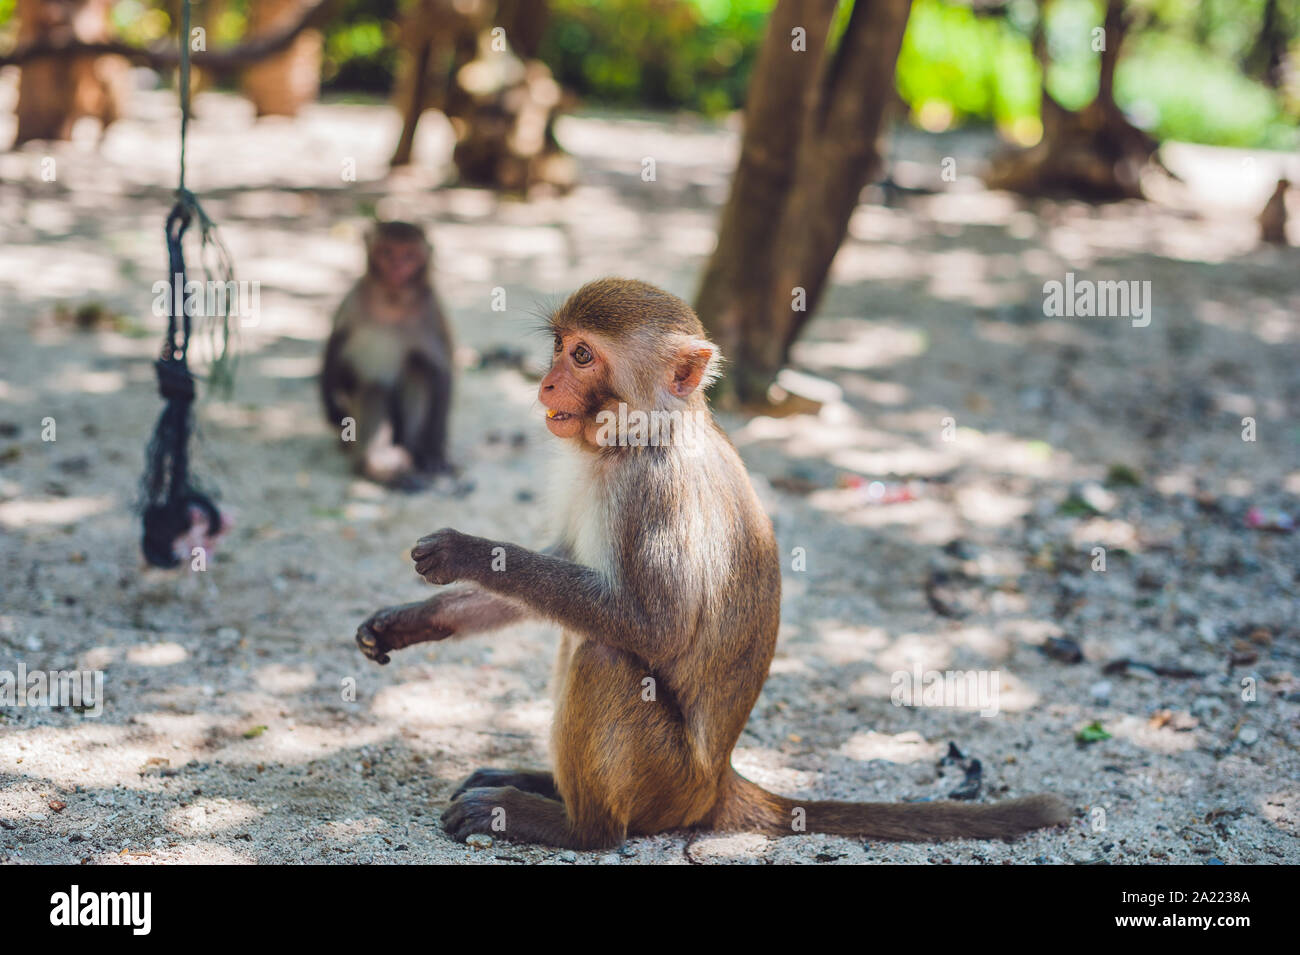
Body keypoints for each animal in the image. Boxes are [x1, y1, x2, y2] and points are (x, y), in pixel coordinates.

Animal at [321, 221, 454, 487]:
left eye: (409, 254)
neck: (393, 300)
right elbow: (335, 345)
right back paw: (374, 464)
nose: (397, 266)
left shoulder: (430, 311)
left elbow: (440, 373)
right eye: (388, 252)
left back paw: (413, 452)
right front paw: (330, 403)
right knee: (373, 388)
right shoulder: (355, 297)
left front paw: (433, 453)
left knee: (417, 368)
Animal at [354, 278, 1070, 848]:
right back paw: (542, 784)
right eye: (559, 347)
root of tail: (716, 781)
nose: (545, 383)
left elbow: (653, 626)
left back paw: (576, 825)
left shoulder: (654, 490)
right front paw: (409, 619)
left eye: (583, 355)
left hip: (665, 780)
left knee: (604, 653)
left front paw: (461, 551)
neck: (639, 435)